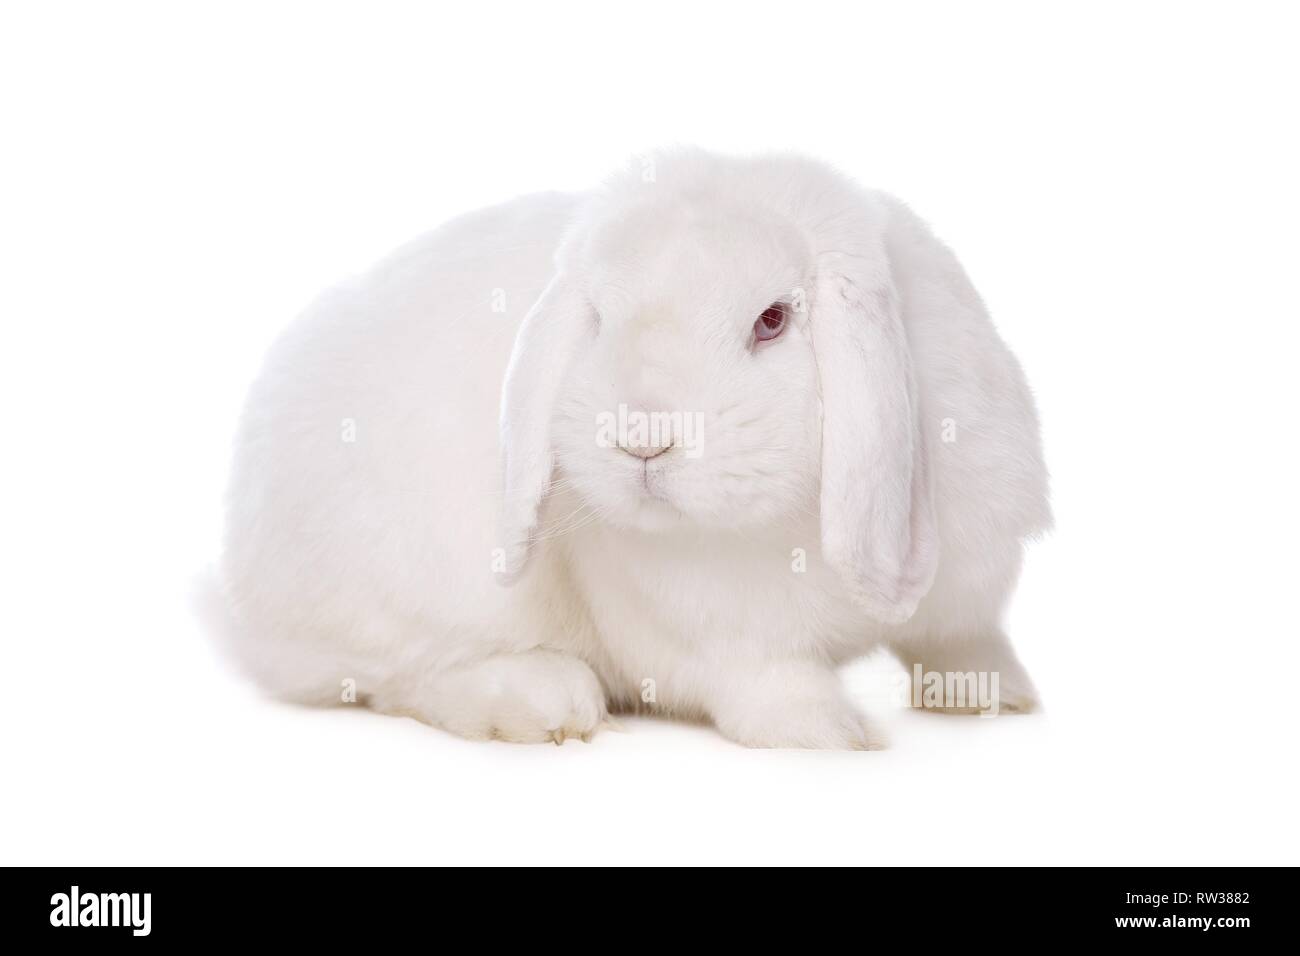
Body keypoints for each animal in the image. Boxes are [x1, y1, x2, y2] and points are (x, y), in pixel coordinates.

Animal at [207, 148, 1051, 749]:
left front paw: (996, 695)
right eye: (599, 321)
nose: (641, 437)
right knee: (400, 676)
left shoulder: (963, 592)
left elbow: (960, 640)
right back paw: (544, 703)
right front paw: (835, 734)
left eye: (773, 320)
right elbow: (770, 684)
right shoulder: (717, 633)